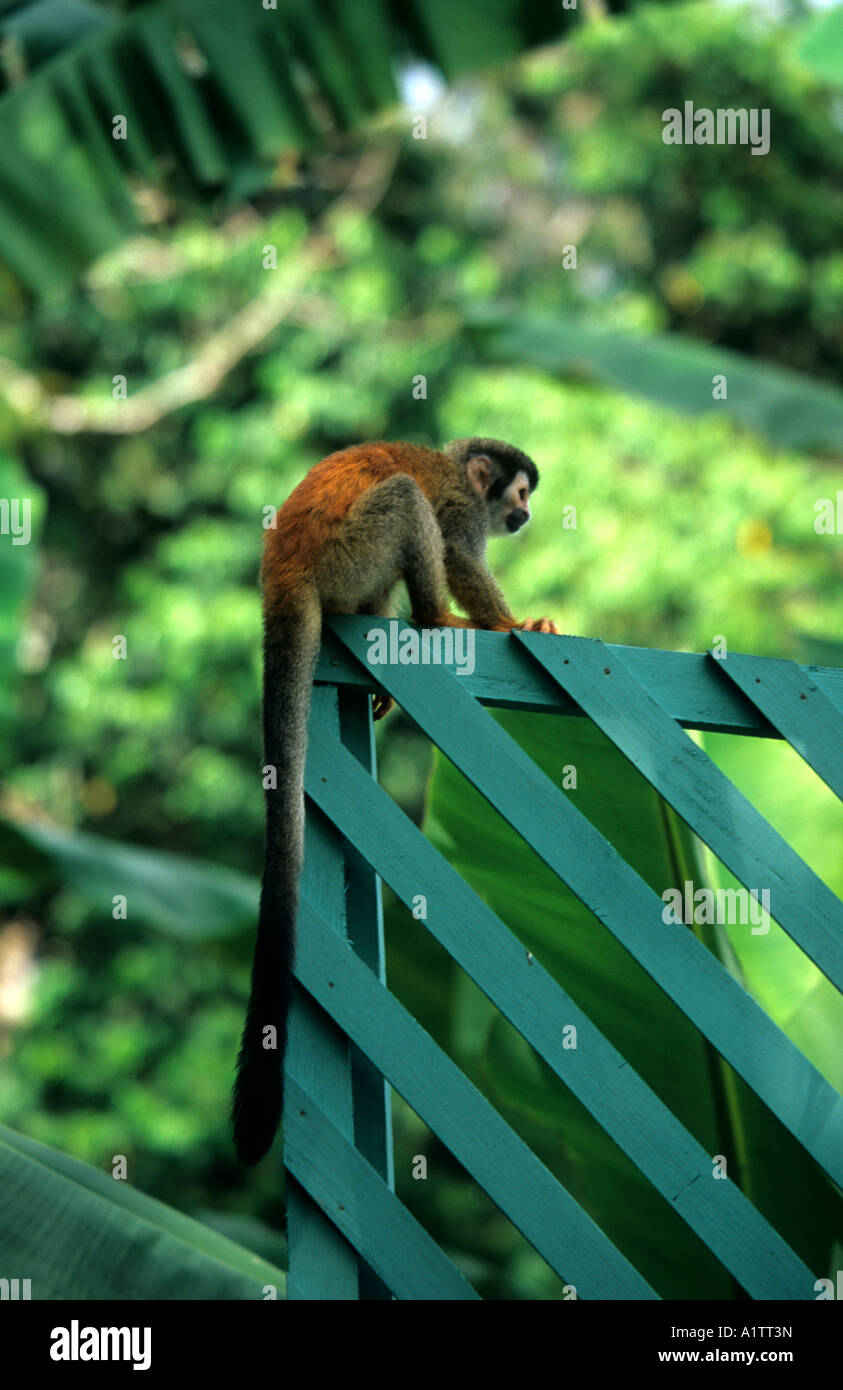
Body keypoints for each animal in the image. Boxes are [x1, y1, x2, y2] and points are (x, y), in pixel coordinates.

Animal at [231, 438, 558, 1165]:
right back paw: (436, 617)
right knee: (409, 501)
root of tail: (281, 566)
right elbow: (458, 553)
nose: (524, 515)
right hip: (348, 550)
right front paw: (508, 620)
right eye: (519, 493)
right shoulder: (463, 510)